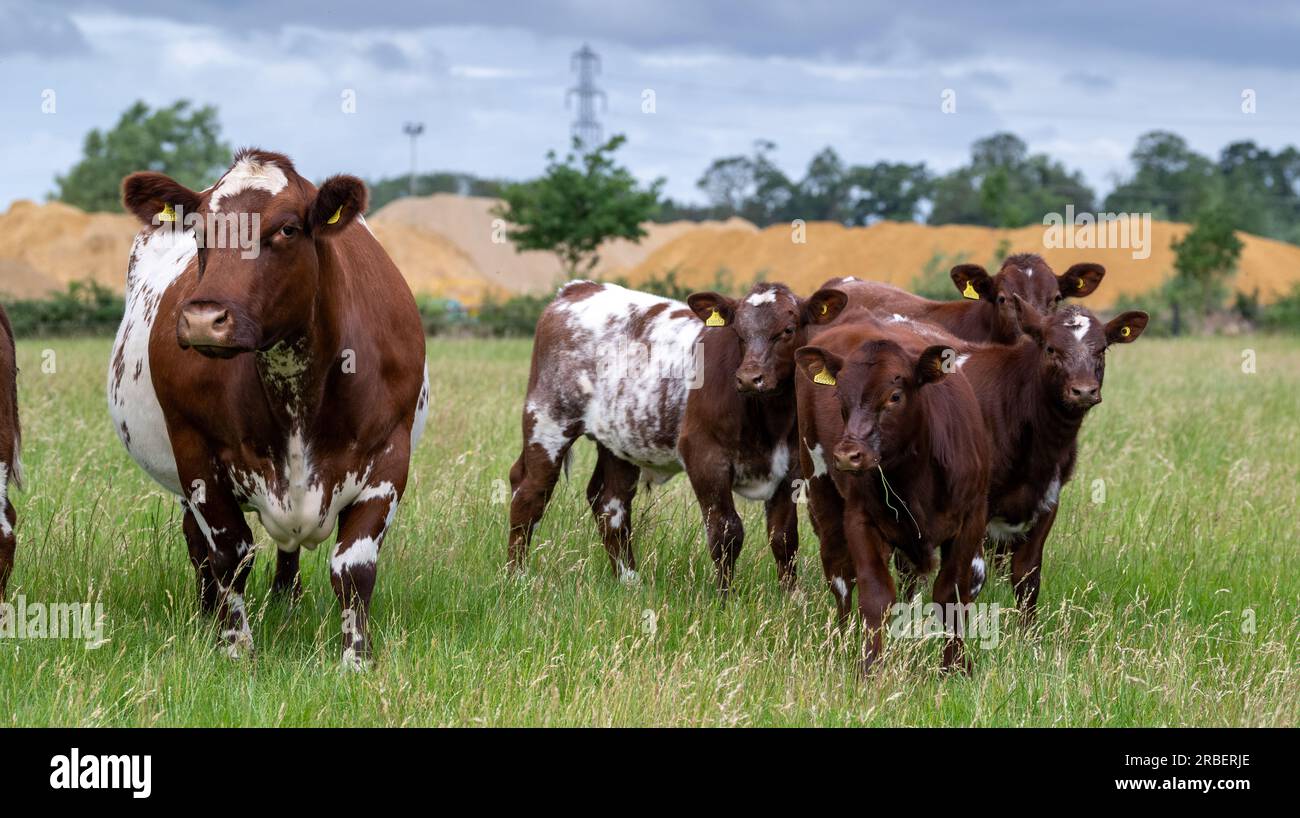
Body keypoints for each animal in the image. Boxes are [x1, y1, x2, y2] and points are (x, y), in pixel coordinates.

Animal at [108, 149, 429, 669]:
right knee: (199, 546)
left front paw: (356, 660)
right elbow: (229, 555)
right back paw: (208, 615)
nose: (203, 320)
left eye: (287, 229)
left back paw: (286, 602)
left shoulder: (389, 453)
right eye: (199, 231)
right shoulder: (196, 451)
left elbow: (354, 566)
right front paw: (235, 648)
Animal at [508, 280, 843, 591]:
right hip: (547, 419)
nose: (749, 378)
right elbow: (726, 531)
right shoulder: (704, 456)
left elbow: (784, 537)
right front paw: (725, 599)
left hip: (618, 439)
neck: (770, 418)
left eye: (788, 330)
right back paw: (517, 577)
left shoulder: (792, 467)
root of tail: (577, 288)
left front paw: (791, 598)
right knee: (530, 492)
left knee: (610, 504)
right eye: (738, 331)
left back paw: (629, 582)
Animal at [794, 315, 990, 673]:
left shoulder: (972, 518)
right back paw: (842, 638)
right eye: (839, 397)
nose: (847, 455)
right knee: (840, 574)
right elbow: (875, 596)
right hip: (821, 489)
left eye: (895, 396)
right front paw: (870, 666)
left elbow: (952, 594)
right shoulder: (860, 520)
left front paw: (955, 666)